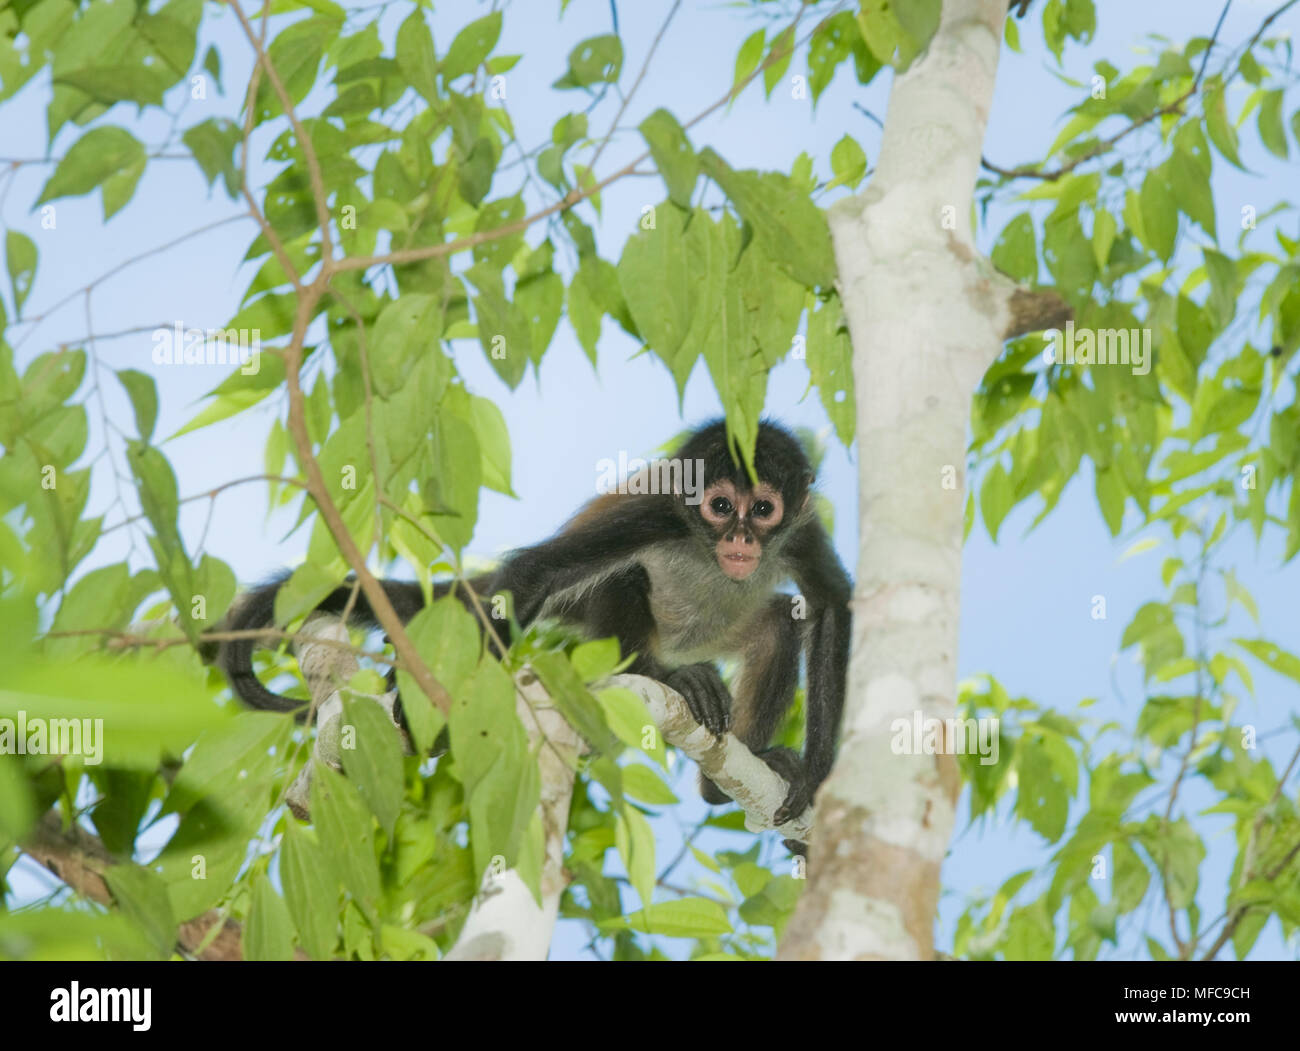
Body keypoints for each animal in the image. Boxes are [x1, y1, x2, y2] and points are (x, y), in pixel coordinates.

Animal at [218, 419, 852, 831]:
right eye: (720, 506)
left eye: (763, 509)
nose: (741, 540)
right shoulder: (658, 515)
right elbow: (537, 570)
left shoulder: (801, 527)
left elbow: (830, 603)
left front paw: (817, 777)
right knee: (626, 576)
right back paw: (665, 677)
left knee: (780, 620)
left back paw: (723, 784)